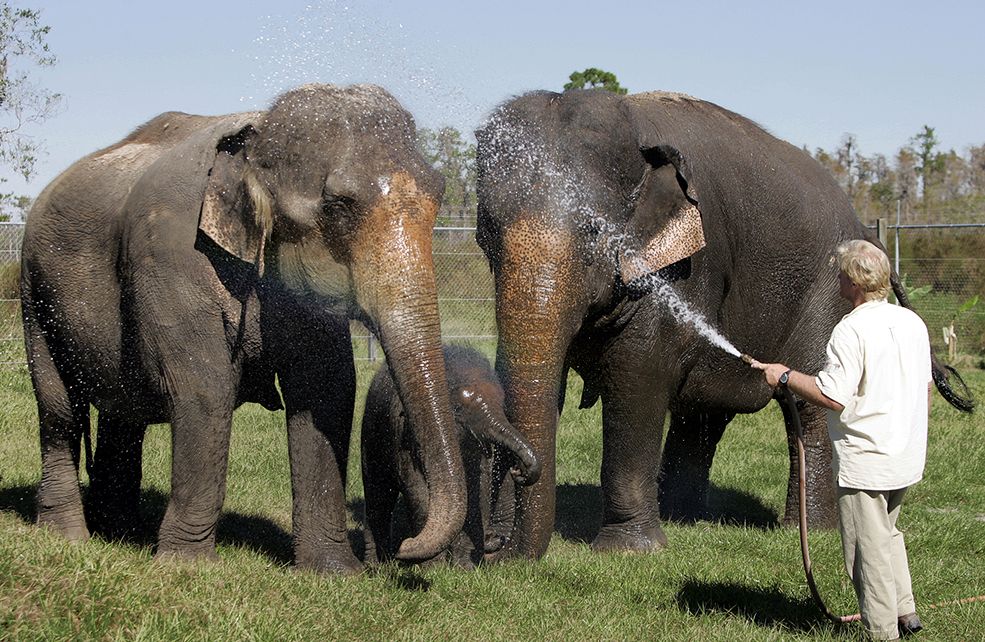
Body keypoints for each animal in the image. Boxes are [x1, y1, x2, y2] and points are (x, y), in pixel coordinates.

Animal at [20, 83, 468, 573]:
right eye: (339, 206)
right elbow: (205, 387)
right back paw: (69, 536)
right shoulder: (173, 254)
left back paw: (121, 533)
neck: (255, 141)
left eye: (440, 194)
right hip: (34, 292)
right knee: (59, 408)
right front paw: (188, 568)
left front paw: (335, 572)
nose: (403, 550)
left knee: (124, 414)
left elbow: (325, 389)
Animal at [361, 344, 540, 568]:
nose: (518, 470)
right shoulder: (405, 434)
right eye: (457, 409)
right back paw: (374, 567)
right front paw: (432, 568)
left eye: (502, 404)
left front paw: (464, 568)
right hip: (372, 429)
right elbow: (417, 488)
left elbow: (478, 489)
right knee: (378, 492)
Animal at [473, 88, 974, 560]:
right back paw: (684, 517)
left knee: (812, 407)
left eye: (594, 232)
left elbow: (638, 379)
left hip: (830, 292)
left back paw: (808, 530)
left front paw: (629, 551)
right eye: (487, 230)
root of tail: (867, 229)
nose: (497, 546)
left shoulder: (685, 270)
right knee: (701, 414)